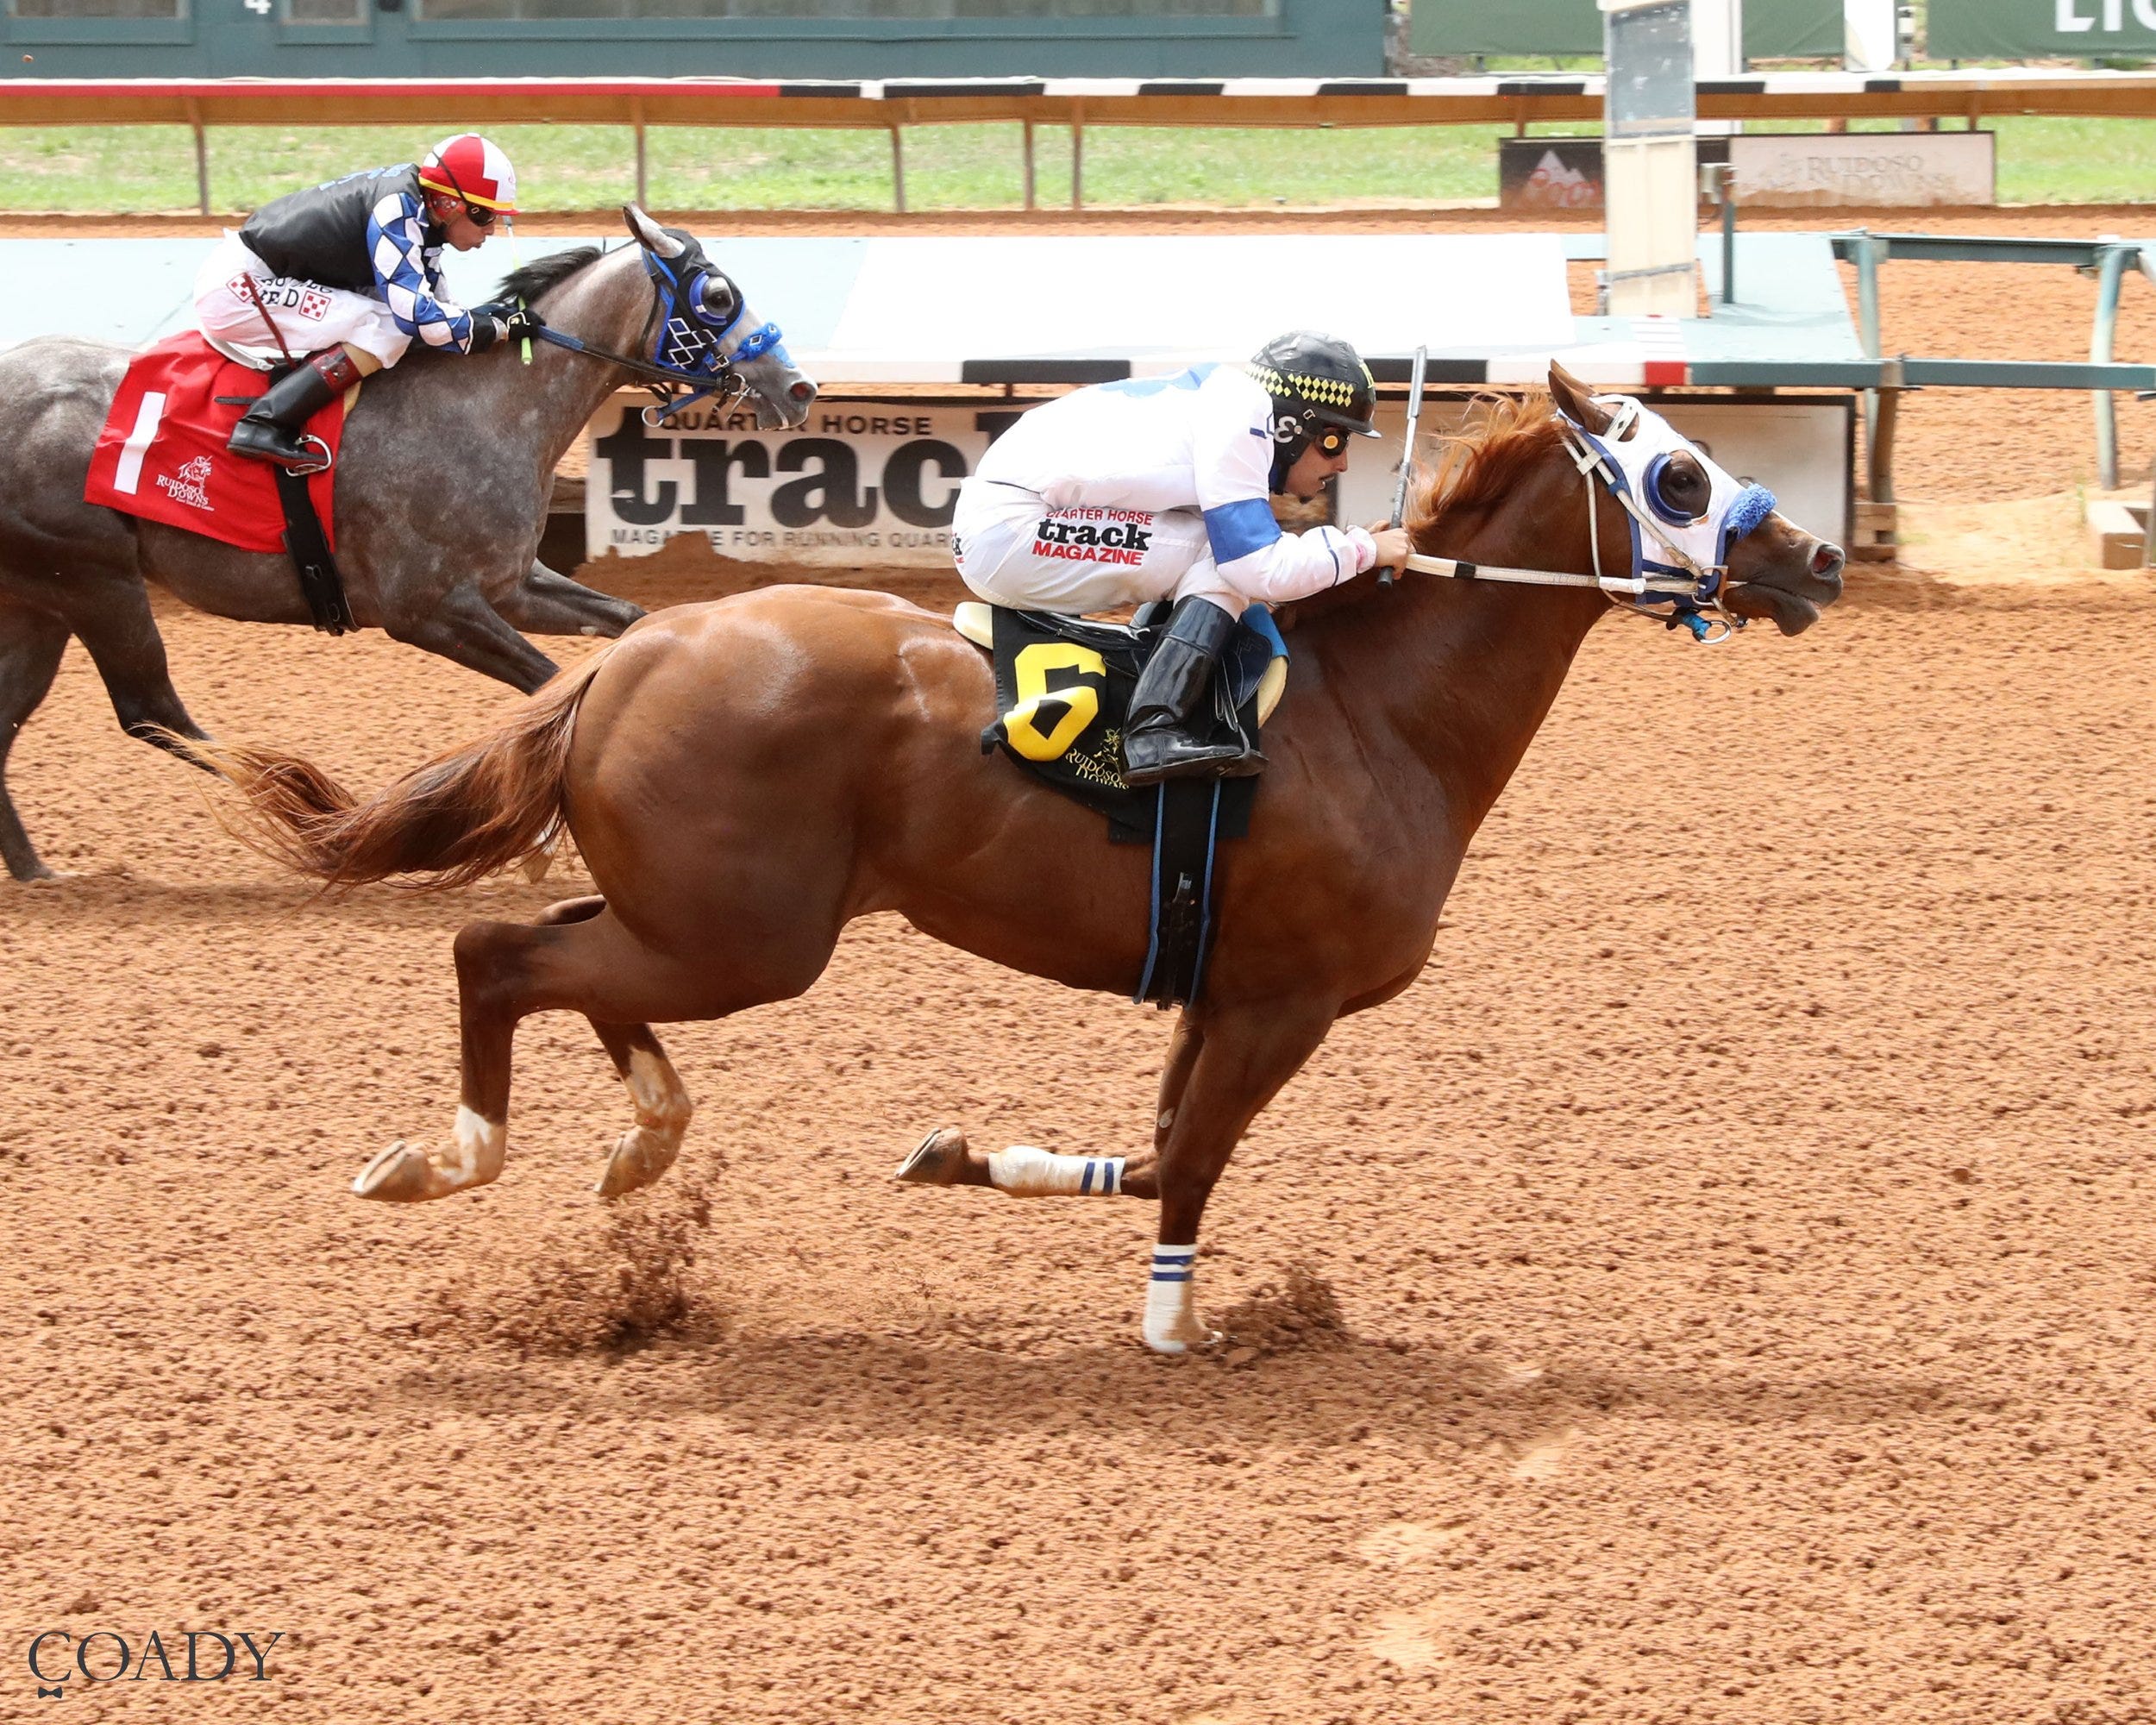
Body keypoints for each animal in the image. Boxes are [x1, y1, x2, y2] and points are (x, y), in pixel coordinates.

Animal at [0, 204, 818, 883]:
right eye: (718, 297)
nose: (798, 387)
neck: (486, 407)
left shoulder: (510, 583)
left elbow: (627, 625)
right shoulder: (426, 609)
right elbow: (549, 688)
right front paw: (541, 839)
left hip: (40, 602)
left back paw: (37, 872)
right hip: (96, 580)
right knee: (151, 708)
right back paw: (320, 820)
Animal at [208, 363, 1846, 1354]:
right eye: (1682, 479)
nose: (1819, 560)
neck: (1379, 712)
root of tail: (634, 651)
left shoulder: (1220, 987)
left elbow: (1157, 1150)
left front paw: (955, 1156)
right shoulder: (1286, 999)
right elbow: (1188, 1162)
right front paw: (1173, 1327)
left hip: (697, 920)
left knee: (568, 961)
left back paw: (643, 1145)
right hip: (749, 939)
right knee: (496, 952)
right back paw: (446, 1158)